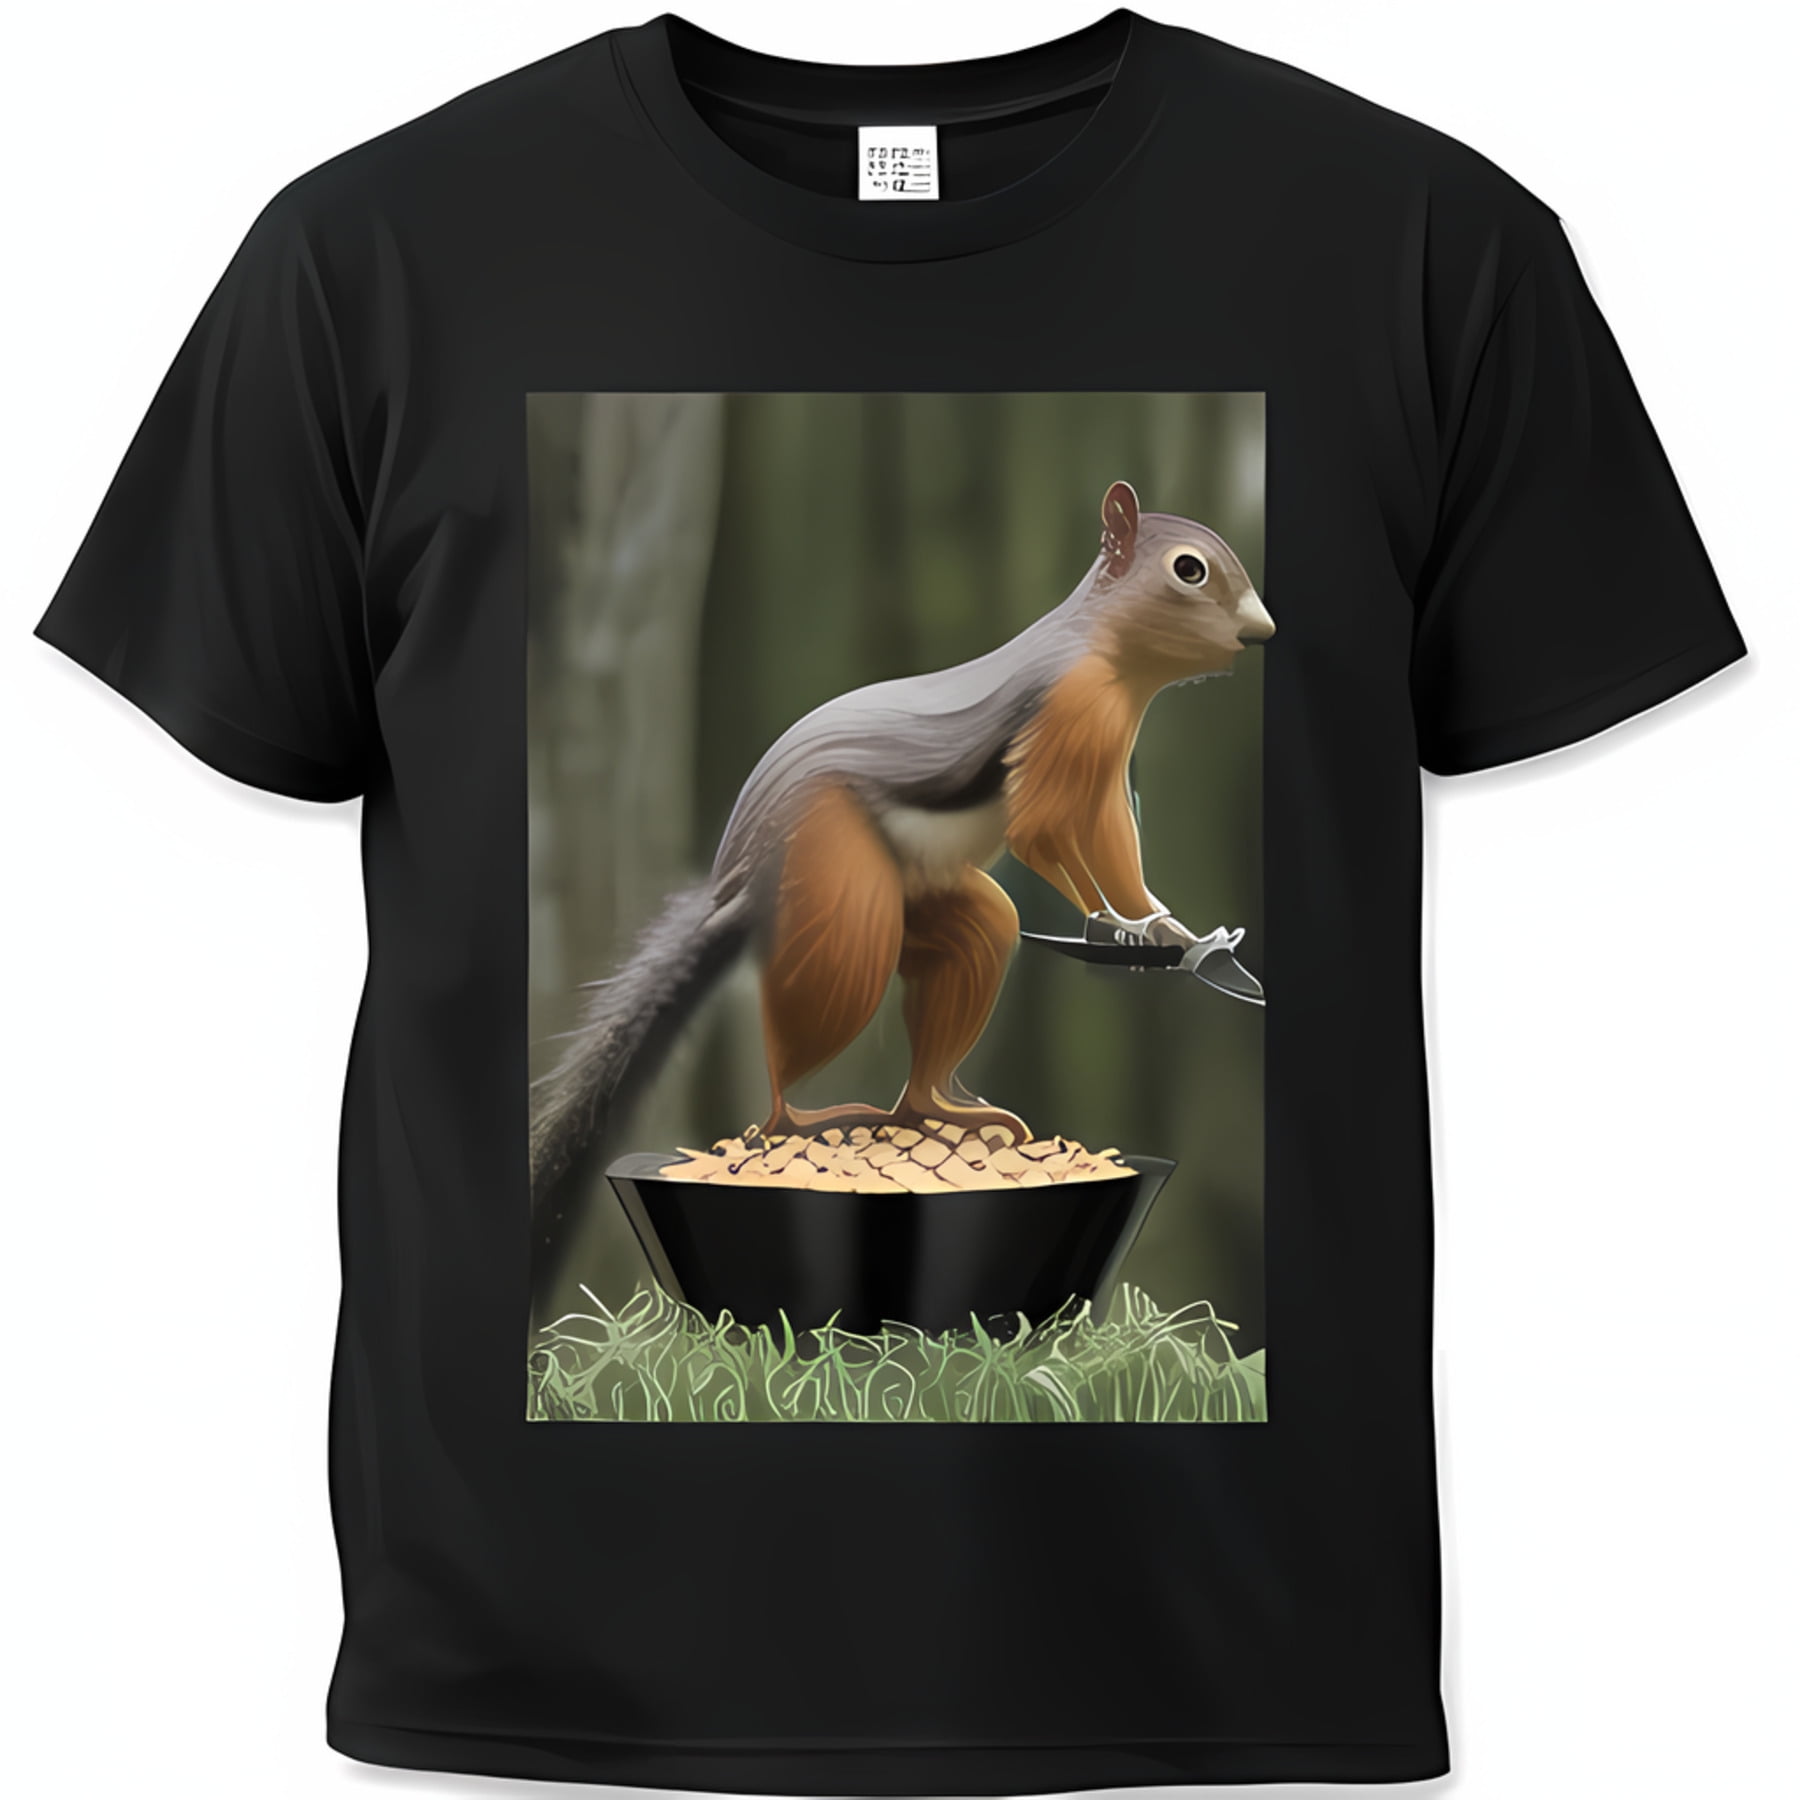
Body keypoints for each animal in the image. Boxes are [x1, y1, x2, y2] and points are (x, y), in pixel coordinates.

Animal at [531, 480, 1273, 1216]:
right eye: (1188, 569)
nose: (1260, 631)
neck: (1104, 651)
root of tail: (745, 880)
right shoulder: (1070, 713)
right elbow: (1044, 833)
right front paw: (1130, 929)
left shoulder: (1107, 772)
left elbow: (1114, 849)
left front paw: (1175, 932)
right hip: (841, 890)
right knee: (811, 1024)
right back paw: (801, 1122)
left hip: (939, 908)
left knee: (962, 971)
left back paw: (944, 1112)